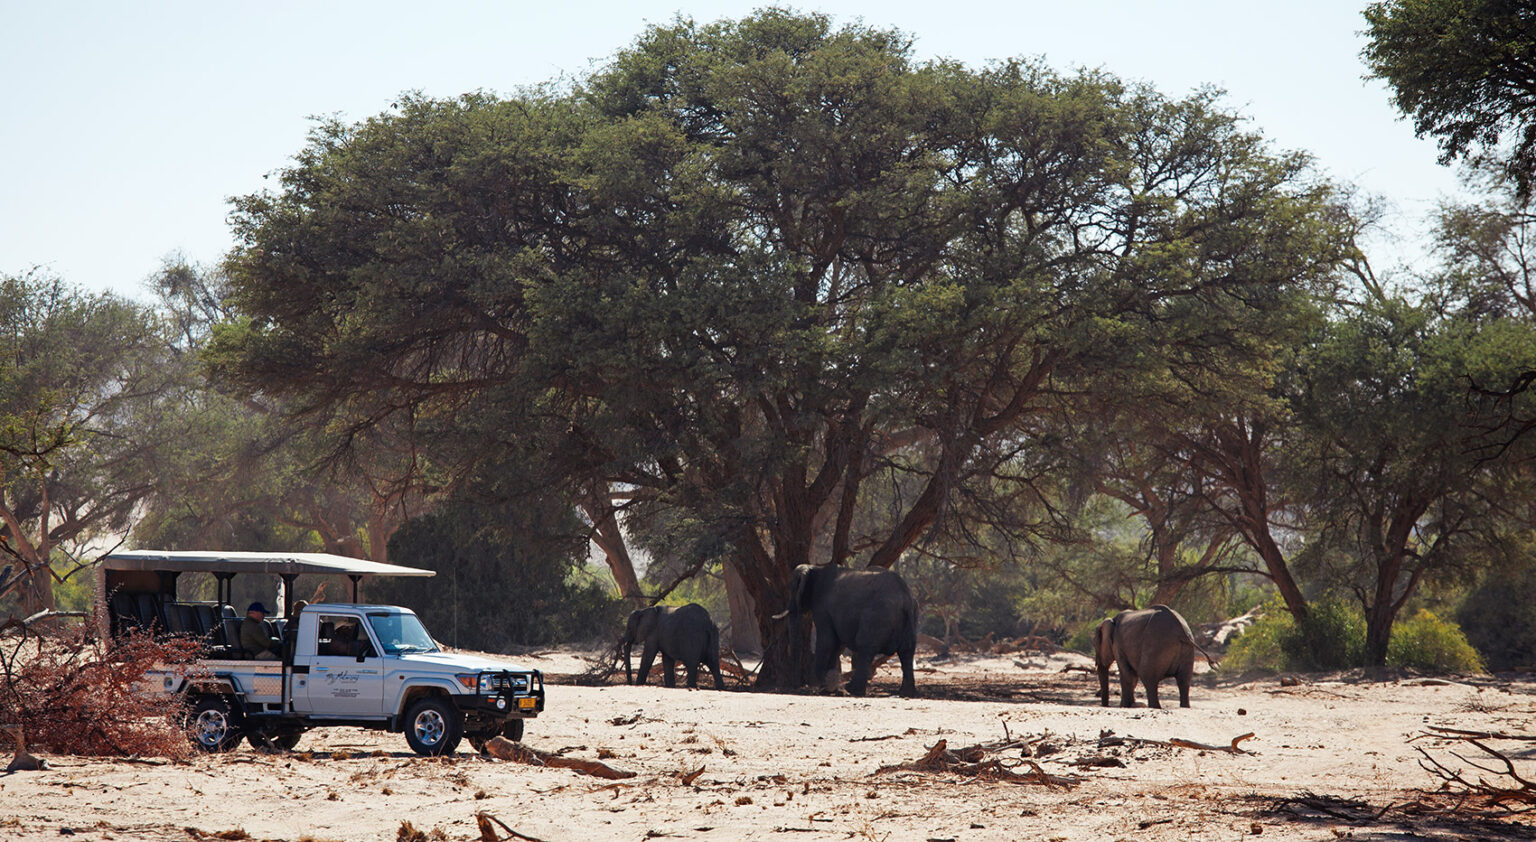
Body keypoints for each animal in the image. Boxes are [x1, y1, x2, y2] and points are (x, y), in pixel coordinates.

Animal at [774, 563, 918, 697]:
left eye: (792, 588)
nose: (796, 686)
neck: (815, 568)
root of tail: (905, 598)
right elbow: (836, 645)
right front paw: (828, 686)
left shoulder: (822, 608)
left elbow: (827, 641)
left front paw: (829, 683)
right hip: (910, 617)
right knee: (907, 652)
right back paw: (906, 693)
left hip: (877, 615)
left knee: (866, 648)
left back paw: (852, 689)